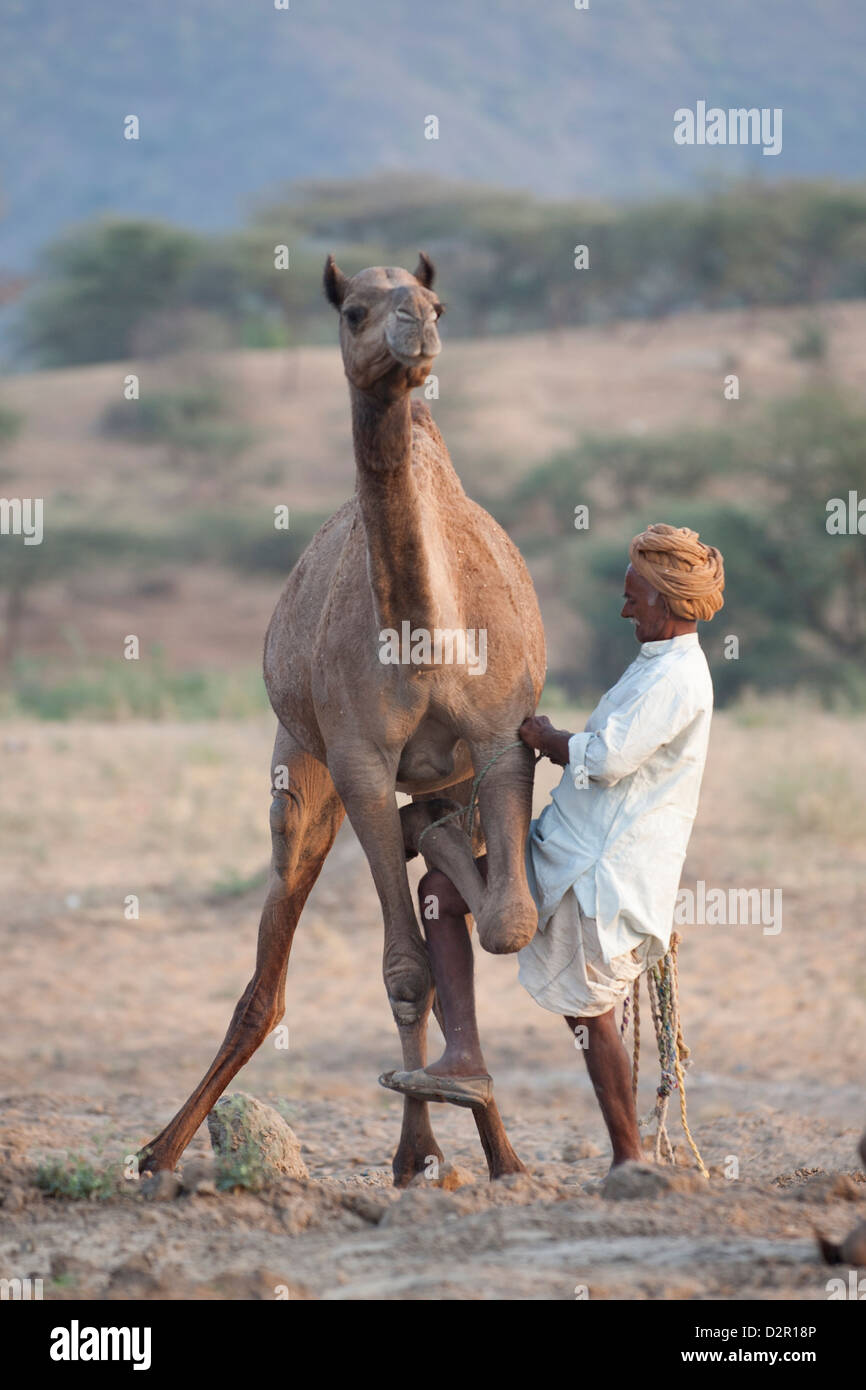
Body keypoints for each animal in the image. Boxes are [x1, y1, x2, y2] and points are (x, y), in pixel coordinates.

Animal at [139, 254, 546, 1185]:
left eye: (436, 302)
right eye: (354, 309)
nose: (414, 331)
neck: (425, 638)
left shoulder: (498, 738)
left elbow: (505, 922)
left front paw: (466, 1140)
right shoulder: (359, 759)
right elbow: (404, 970)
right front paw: (416, 1152)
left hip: (445, 775)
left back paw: (500, 1150)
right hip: (302, 761)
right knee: (271, 971)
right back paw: (161, 1148)